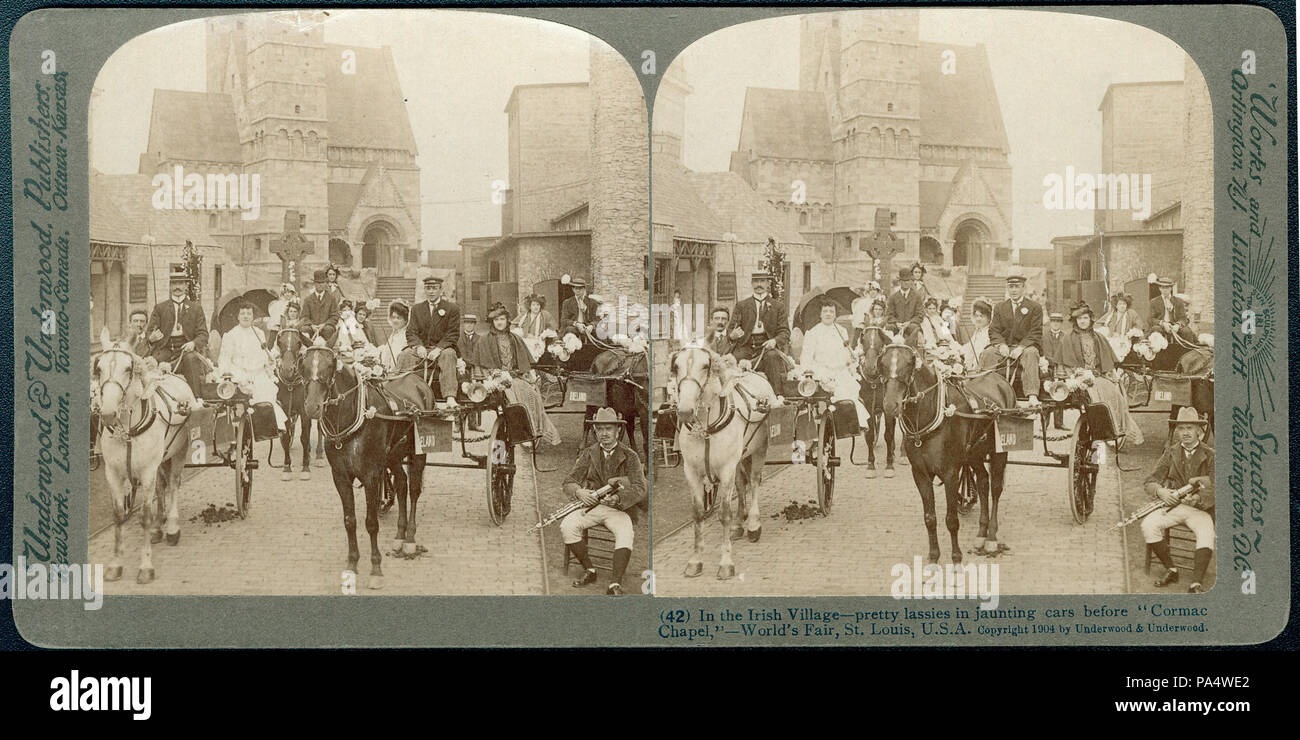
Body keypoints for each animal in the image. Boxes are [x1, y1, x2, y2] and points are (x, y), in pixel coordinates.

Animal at [94, 326, 195, 580]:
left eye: (128, 369)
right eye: (98, 368)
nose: (108, 413)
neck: (127, 431)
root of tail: (170, 374)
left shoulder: (147, 470)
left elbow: (145, 516)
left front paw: (146, 566)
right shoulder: (114, 473)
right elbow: (118, 515)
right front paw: (116, 563)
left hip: (179, 452)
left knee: (173, 485)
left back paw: (171, 527)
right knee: (161, 487)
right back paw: (160, 527)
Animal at [300, 343, 431, 585]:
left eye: (329, 366)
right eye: (303, 366)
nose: (312, 406)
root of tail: (417, 381)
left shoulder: (371, 475)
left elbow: (371, 523)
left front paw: (376, 568)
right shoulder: (341, 476)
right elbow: (350, 521)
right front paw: (352, 564)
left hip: (419, 452)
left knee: (414, 490)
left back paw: (409, 538)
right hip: (392, 456)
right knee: (401, 483)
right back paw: (399, 536)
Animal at [670, 343, 769, 580]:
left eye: (706, 366)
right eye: (676, 367)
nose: (685, 411)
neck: (706, 429)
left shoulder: (725, 469)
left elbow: (724, 513)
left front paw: (726, 563)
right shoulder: (692, 471)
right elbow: (698, 514)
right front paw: (695, 561)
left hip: (759, 449)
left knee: (754, 483)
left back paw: (753, 524)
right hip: (741, 457)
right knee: (742, 485)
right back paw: (739, 524)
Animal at [883, 326, 1013, 561]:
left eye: (909, 363)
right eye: (882, 363)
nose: (890, 405)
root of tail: (999, 379)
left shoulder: (951, 472)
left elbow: (951, 520)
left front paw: (956, 558)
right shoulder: (920, 474)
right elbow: (930, 518)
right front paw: (934, 557)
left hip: (1000, 451)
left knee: (996, 488)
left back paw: (991, 538)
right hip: (974, 454)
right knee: (983, 482)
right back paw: (981, 534)